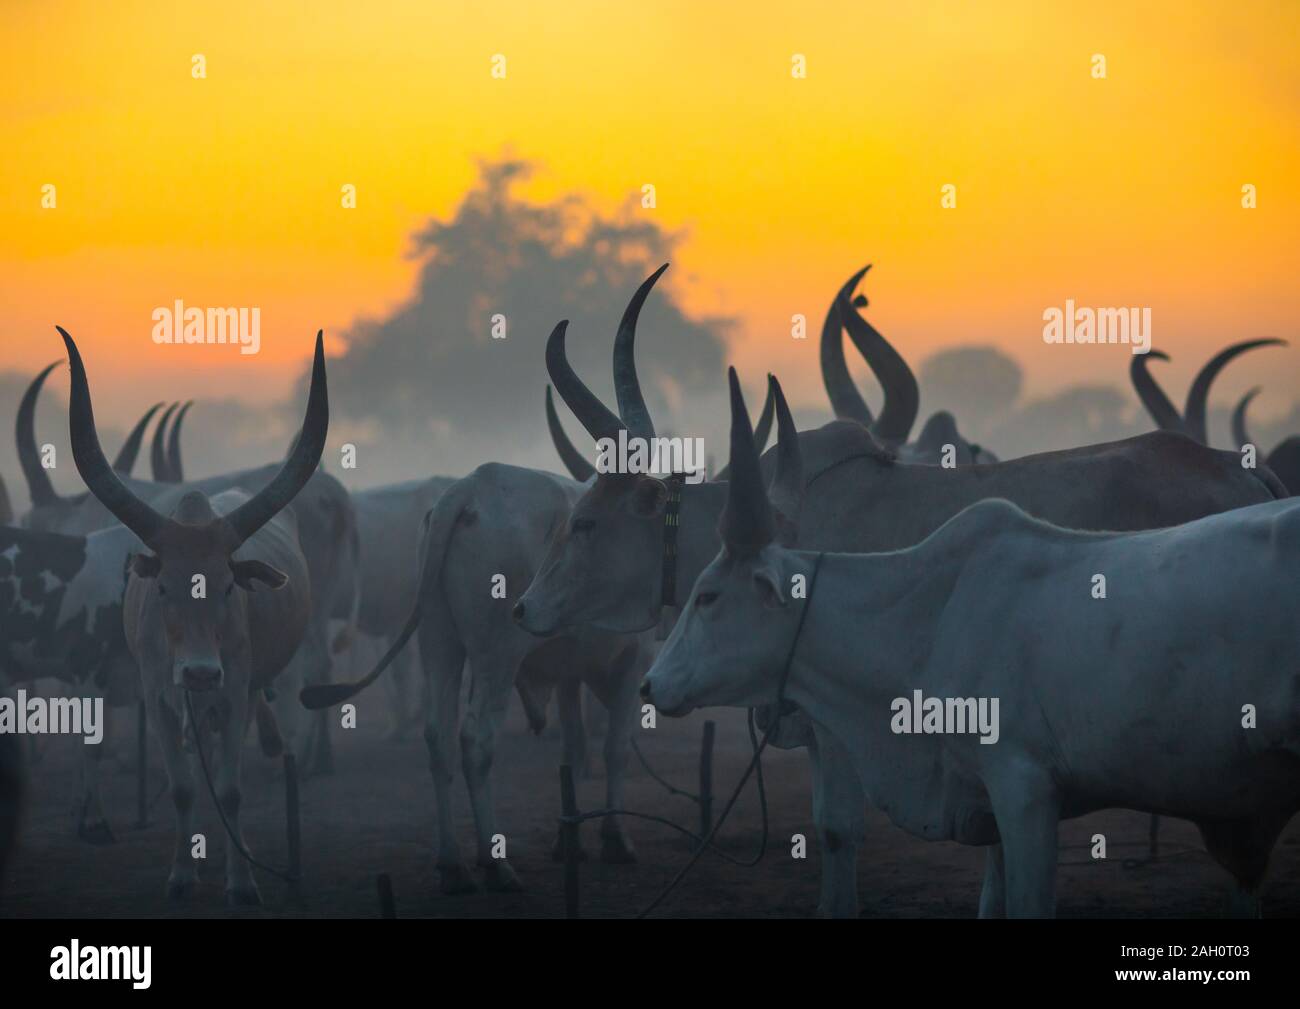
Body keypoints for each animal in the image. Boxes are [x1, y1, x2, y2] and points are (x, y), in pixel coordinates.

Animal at [58, 325, 328, 904]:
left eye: (228, 586)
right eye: (162, 586)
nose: (200, 672)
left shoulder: (234, 691)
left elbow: (230, 789)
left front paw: (242, 881)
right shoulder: (159, 695)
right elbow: (183, 788)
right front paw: (182, 875)